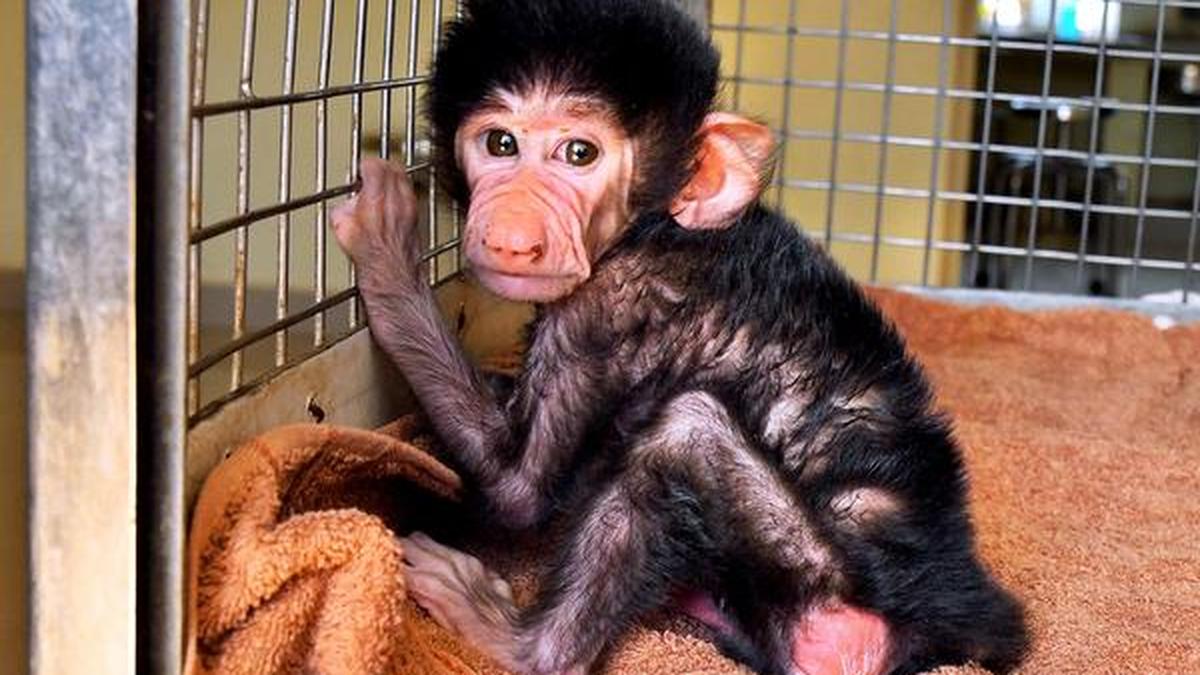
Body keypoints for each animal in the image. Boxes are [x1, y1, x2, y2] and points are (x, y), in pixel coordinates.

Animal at [330, 1, 1029, 674]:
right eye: (500, 143)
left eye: (579, 154)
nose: (511, 237)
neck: (651, 226)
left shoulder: (605, 306)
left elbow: (517, 490)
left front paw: (388, 251)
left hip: (825, 590)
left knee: (683, 429)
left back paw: (523, 643)